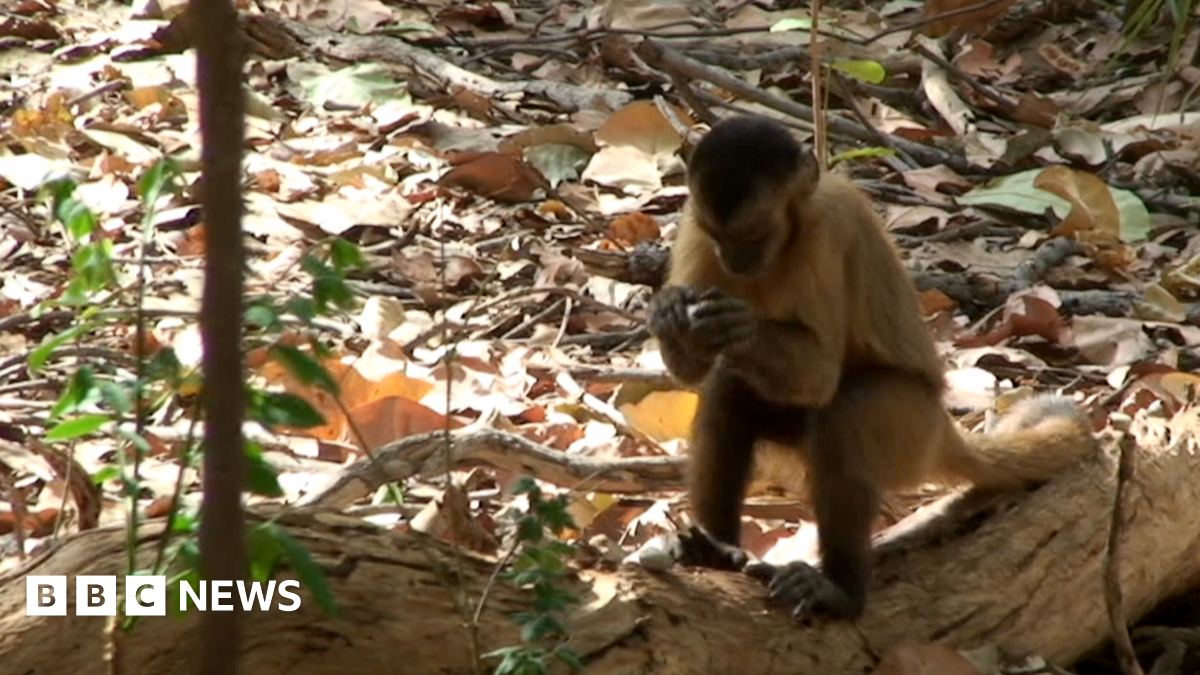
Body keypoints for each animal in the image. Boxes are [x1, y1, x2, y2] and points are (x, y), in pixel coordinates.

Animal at [646, 114, 1099, 623]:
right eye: (720, 238)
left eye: (753, 236)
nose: (732, 259)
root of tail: (942, 429)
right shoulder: (694, 226)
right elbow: (692, 374)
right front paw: (669, 316)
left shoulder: (829, 228)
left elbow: (820, 376)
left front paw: (737, 325)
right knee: (731, 393)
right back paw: (718, 551)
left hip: (910, 430)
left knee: (845, 414)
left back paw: (840, 592)